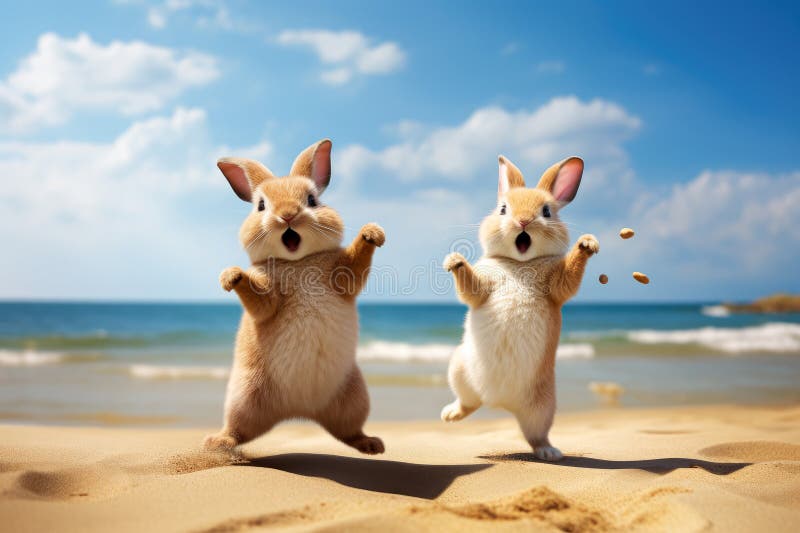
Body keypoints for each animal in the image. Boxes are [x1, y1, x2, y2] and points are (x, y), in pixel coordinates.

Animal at [204, 139, 386, 455]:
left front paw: (371, 233)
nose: (288, 215)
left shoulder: (343, 276)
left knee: (349, 431)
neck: (298, 262)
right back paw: (218, 444)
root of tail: (300, 411)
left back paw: (370, 444)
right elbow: (258, 299)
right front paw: (231, 276)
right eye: (261, 206)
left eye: (312, 200)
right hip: (243, 397)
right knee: (237, 429)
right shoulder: (267, 297)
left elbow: (356, 264)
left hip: (354, 397)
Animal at [440, 155, 599, 461]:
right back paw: (449, 415)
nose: (523, 221)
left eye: (547, 212)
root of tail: (498, 402)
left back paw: (550, 452)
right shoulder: (482, 286)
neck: (519, 264)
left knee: (536, 435)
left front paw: (587, 244)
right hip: (459, 371)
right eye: (503, 209)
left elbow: (570, 275)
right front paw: (454, 261)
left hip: (541, 408)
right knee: (468, 403)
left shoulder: (558, 284)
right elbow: (470, 289)